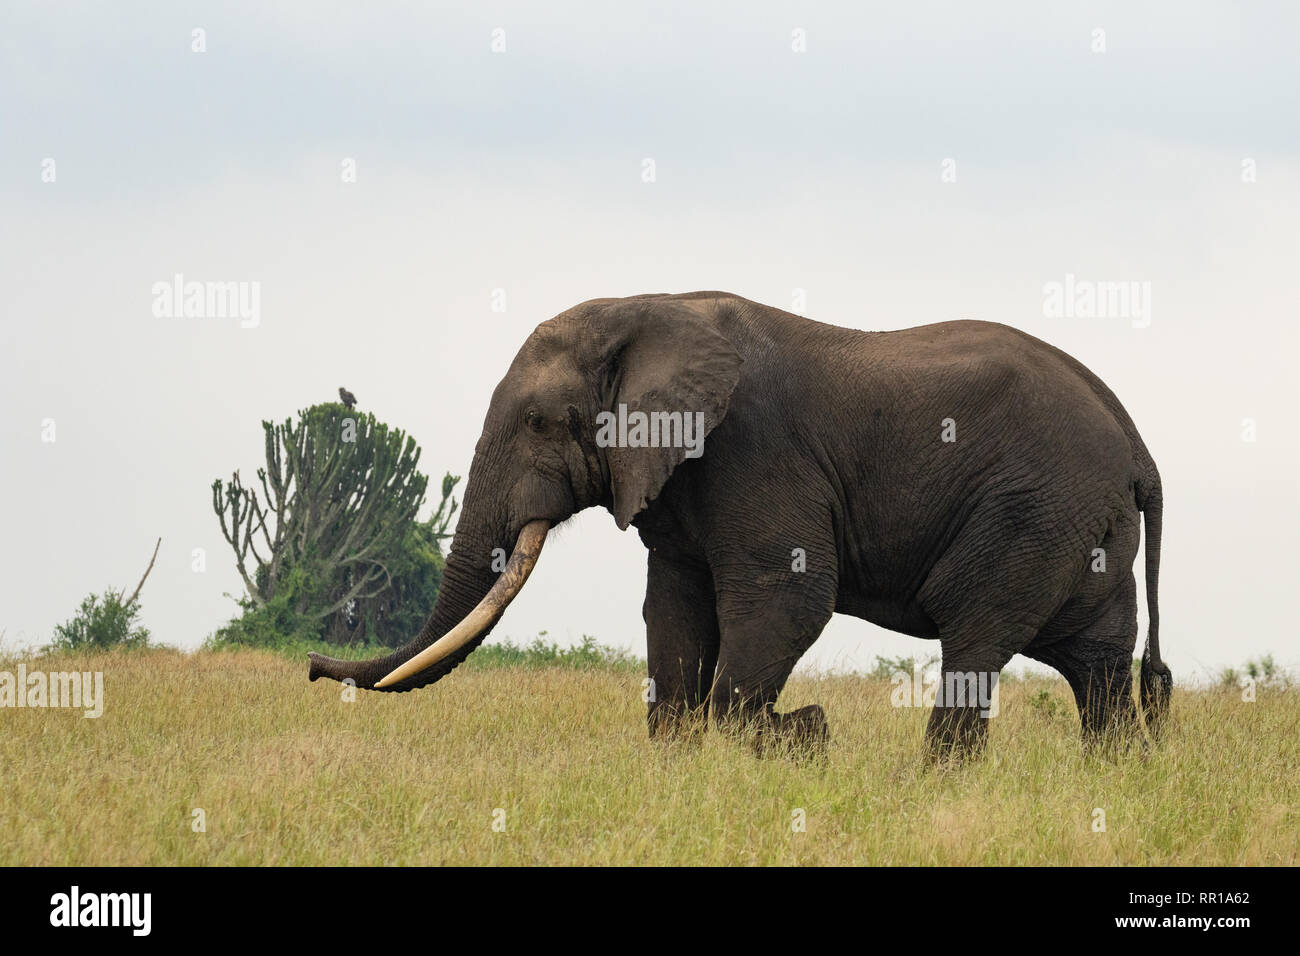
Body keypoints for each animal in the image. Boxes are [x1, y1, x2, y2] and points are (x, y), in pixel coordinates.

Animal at [309, 291, 1171, 757]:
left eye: (542, 423)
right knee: (1097, 662)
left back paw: (929, 787)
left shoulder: (755, 451)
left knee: (976, 638)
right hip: (1082, 526)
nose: (313, 665)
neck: (646, 304)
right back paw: (1114, 786)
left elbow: (788, 594)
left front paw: (805, 737)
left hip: (1030, 511)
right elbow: (675, 611)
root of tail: (1137, 445)